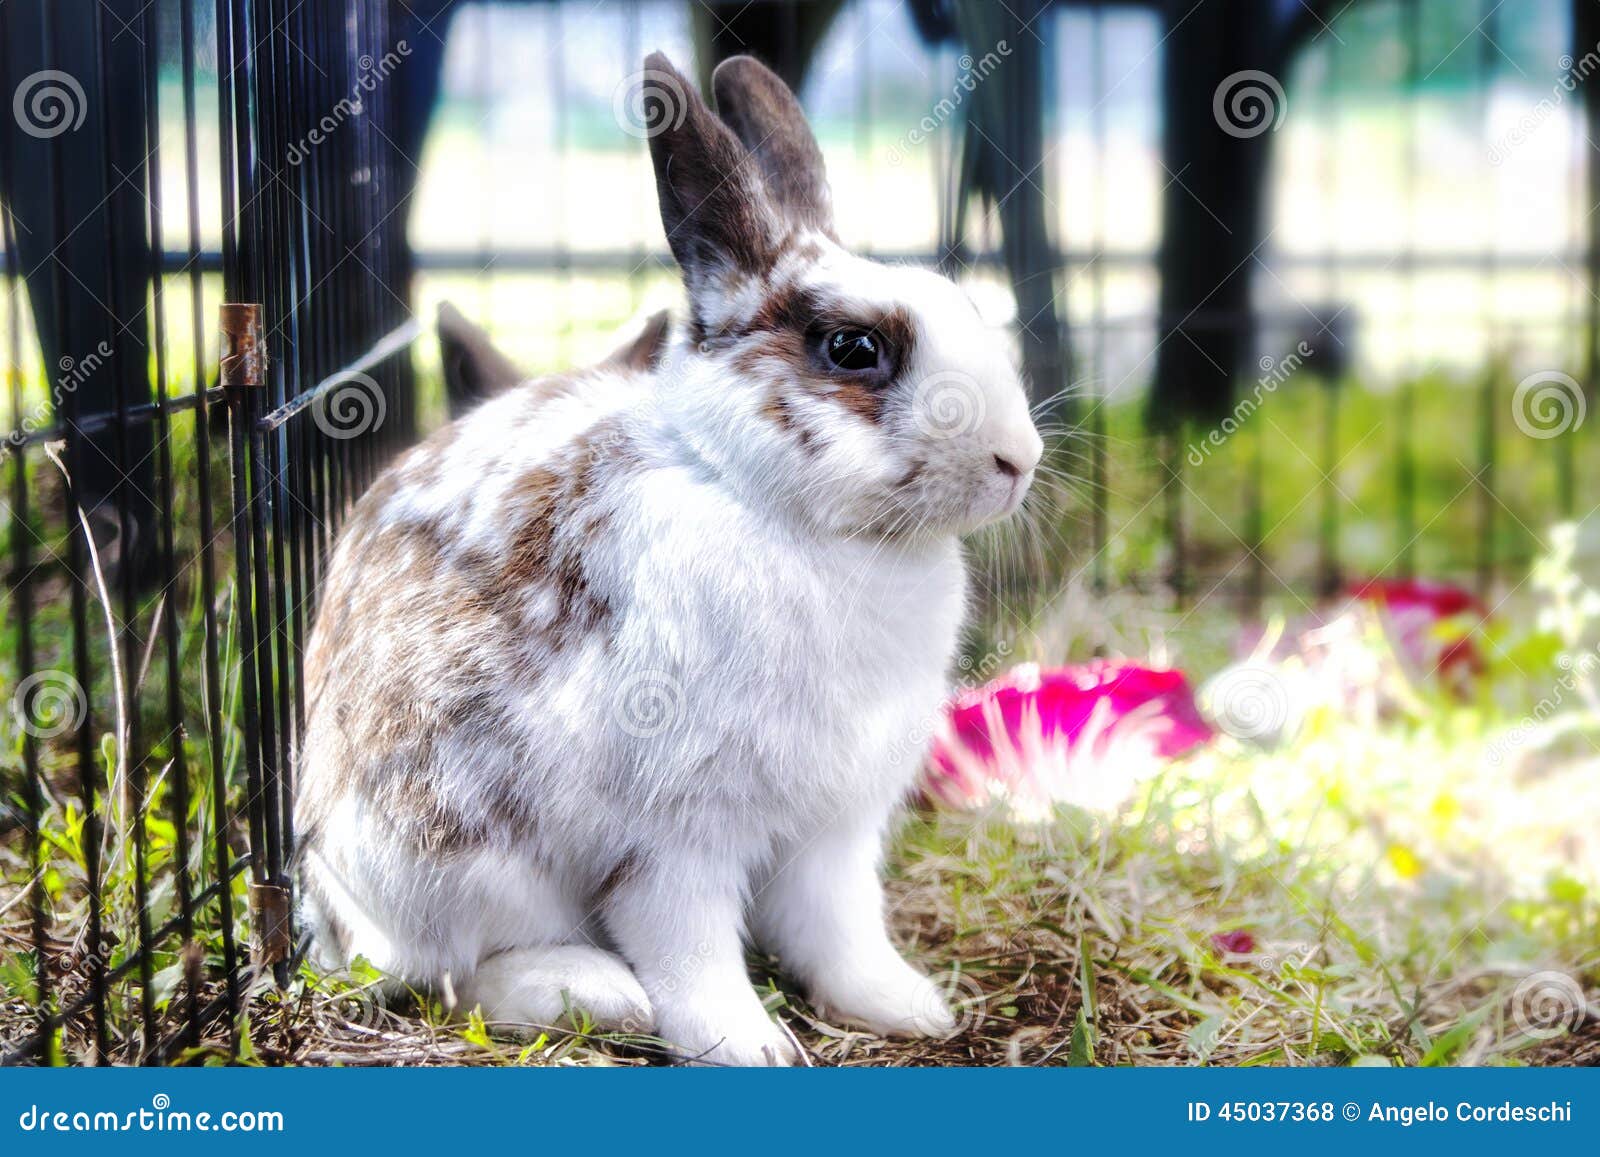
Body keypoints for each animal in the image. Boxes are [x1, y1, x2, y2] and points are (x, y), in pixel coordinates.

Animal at [294, 51, 1043, 1066]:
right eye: (854, 348)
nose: (1018, 459)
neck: (787, 516)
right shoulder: (674, 837)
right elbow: (688, 948)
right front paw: (749, 1045)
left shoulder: (835, 831)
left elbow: (839, 929)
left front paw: (905, 1006)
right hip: (445, 861)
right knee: (449, 971)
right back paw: (594, 991)